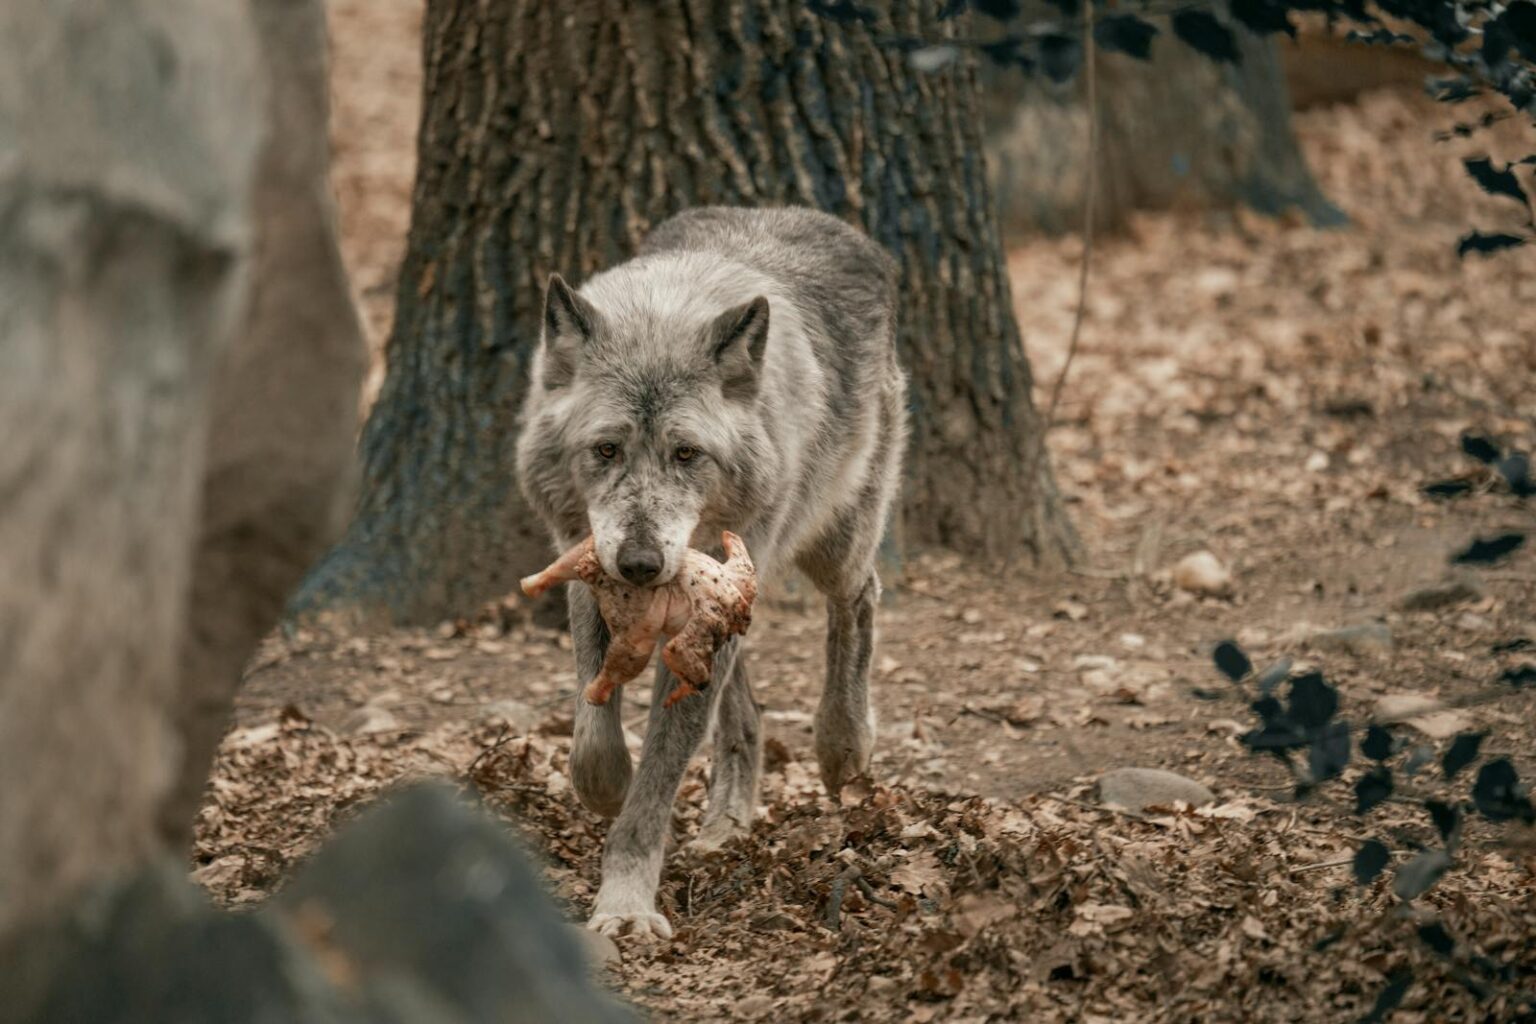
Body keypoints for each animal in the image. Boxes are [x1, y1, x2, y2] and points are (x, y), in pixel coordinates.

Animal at [516, 206, 907, 938]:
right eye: (605, 450)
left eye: (686, 454)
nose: (641, 565)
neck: (659, 314)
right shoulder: (585, 569)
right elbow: (593, 727)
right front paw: (605, 787)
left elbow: (656, 784)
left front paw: (625, 904)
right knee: (743, 708)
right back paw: (728, 821)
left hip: (832, 546)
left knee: (859, 598)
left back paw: (843, 744)